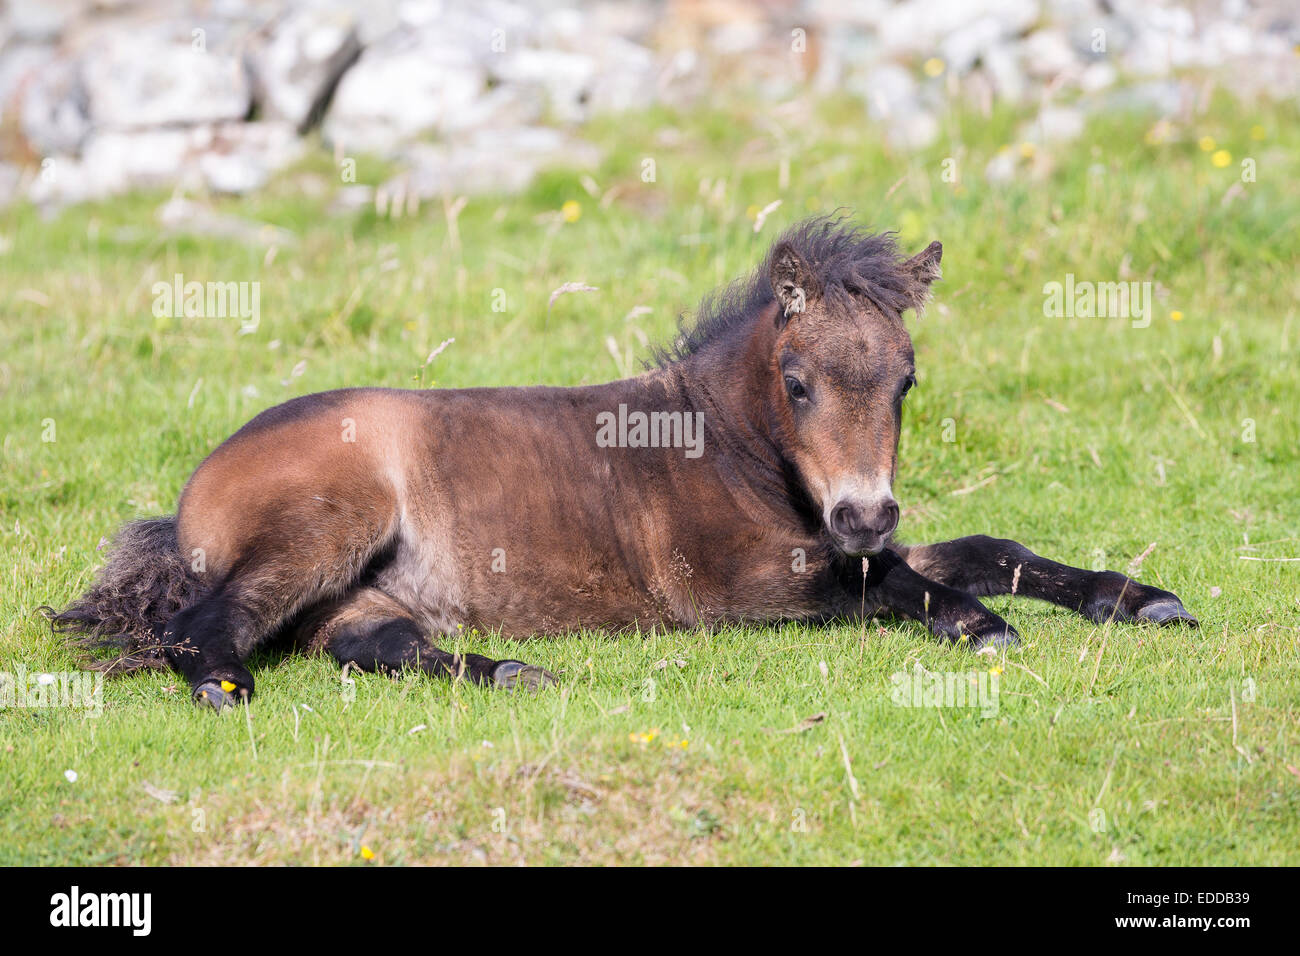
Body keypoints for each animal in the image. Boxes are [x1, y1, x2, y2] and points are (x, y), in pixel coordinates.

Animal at [51, 216, 1197, 708]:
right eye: (797, 383)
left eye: (907, 380)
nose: (865, 510)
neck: (724, 445)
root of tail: (188, 499)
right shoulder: (741, 588)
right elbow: (897, 585)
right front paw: (977, 624)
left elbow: (981, 546)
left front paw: (1139, 598)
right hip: (323, 528)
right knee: (207, 625)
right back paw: (224, 687)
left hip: (360, 592)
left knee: (378, 645)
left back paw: (512, 671)